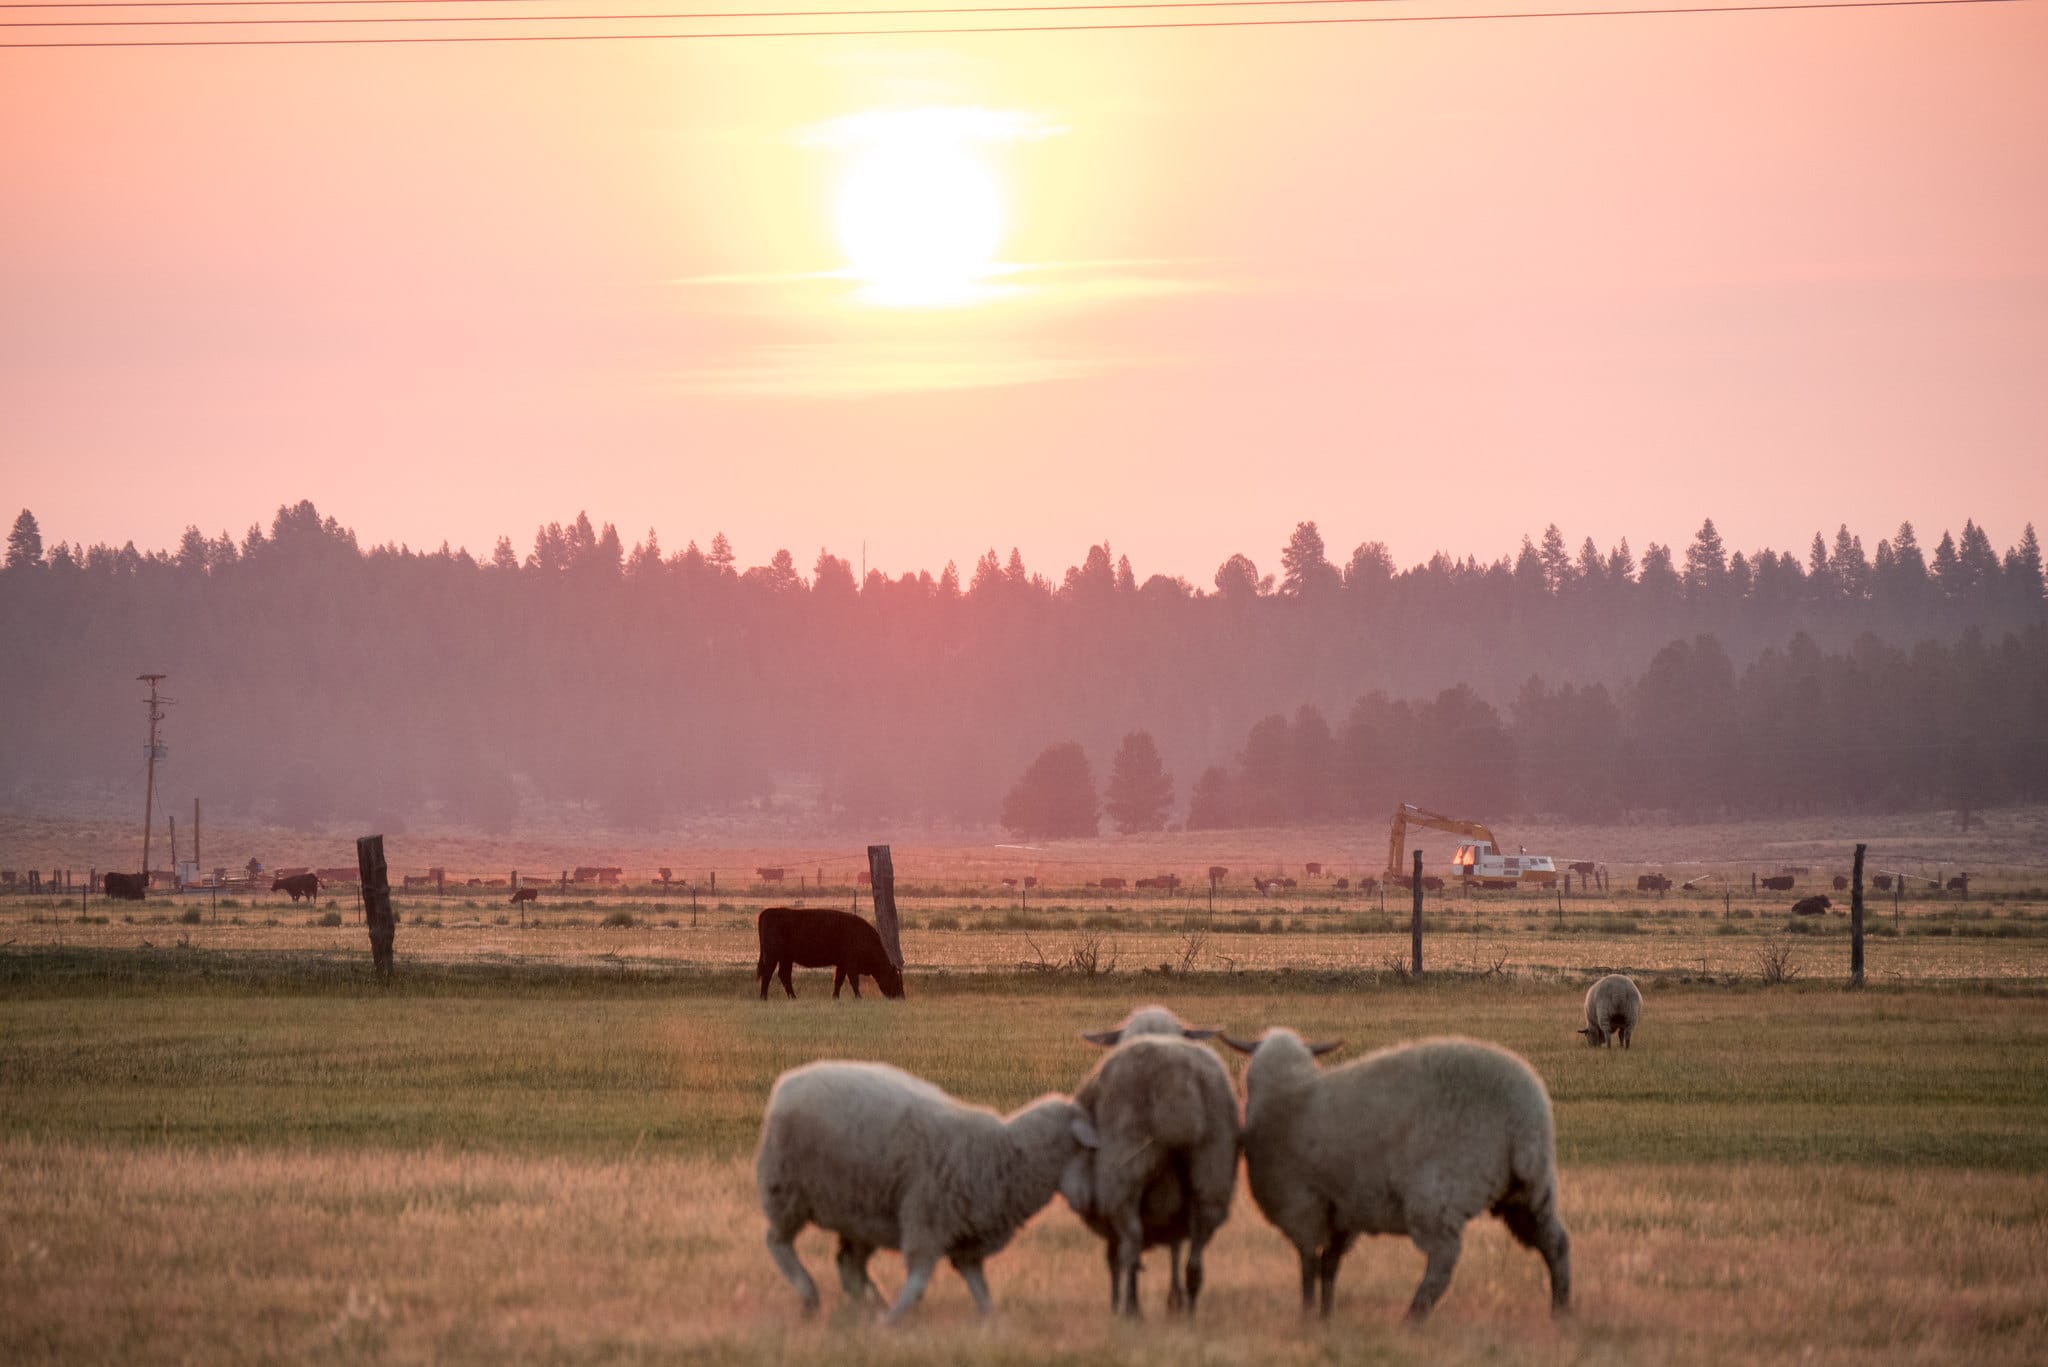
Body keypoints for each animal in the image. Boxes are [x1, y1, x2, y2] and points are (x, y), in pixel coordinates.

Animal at [755, 1059, 1099, 1324]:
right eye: (1087, 1151)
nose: (1088, 1202)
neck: (1000, 1154)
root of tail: (790, 1080)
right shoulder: (926, 1221)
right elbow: (919, 1282)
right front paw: (891, 1322)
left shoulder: (968, 1243)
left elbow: (981, 1291)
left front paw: (995, 1325)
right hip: (786, 1190)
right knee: (777, 1242)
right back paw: (810, 1293)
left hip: (860, 1210)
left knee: (849, 1265)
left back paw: (872, 1304)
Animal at [1064, 1005, 1240, 1318]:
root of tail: (1176, 1080)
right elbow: (1175, 1247)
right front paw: (1174, 1299)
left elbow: (1113, 1258)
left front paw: (1115, 1304)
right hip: (1212, 1172)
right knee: (1195, 1258)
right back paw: (1188, 1313)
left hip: (1124, 1174)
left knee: (1132, 1246)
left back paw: (1131, 1310)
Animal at [1222, 1030, 1570, 1322]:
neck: (1287, 1093)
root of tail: (1524, 1114)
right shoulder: (1345, 1211)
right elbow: (1329, 1265)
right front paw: (1326, 1316)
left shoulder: (1301, 1205)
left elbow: (1308, 1265)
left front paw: (1307, 1315)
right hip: (1529, 1189)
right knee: (1555, 1242)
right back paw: (1561, 1310)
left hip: (1438, 1195)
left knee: (1443, 1260)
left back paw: (1413, 1318)